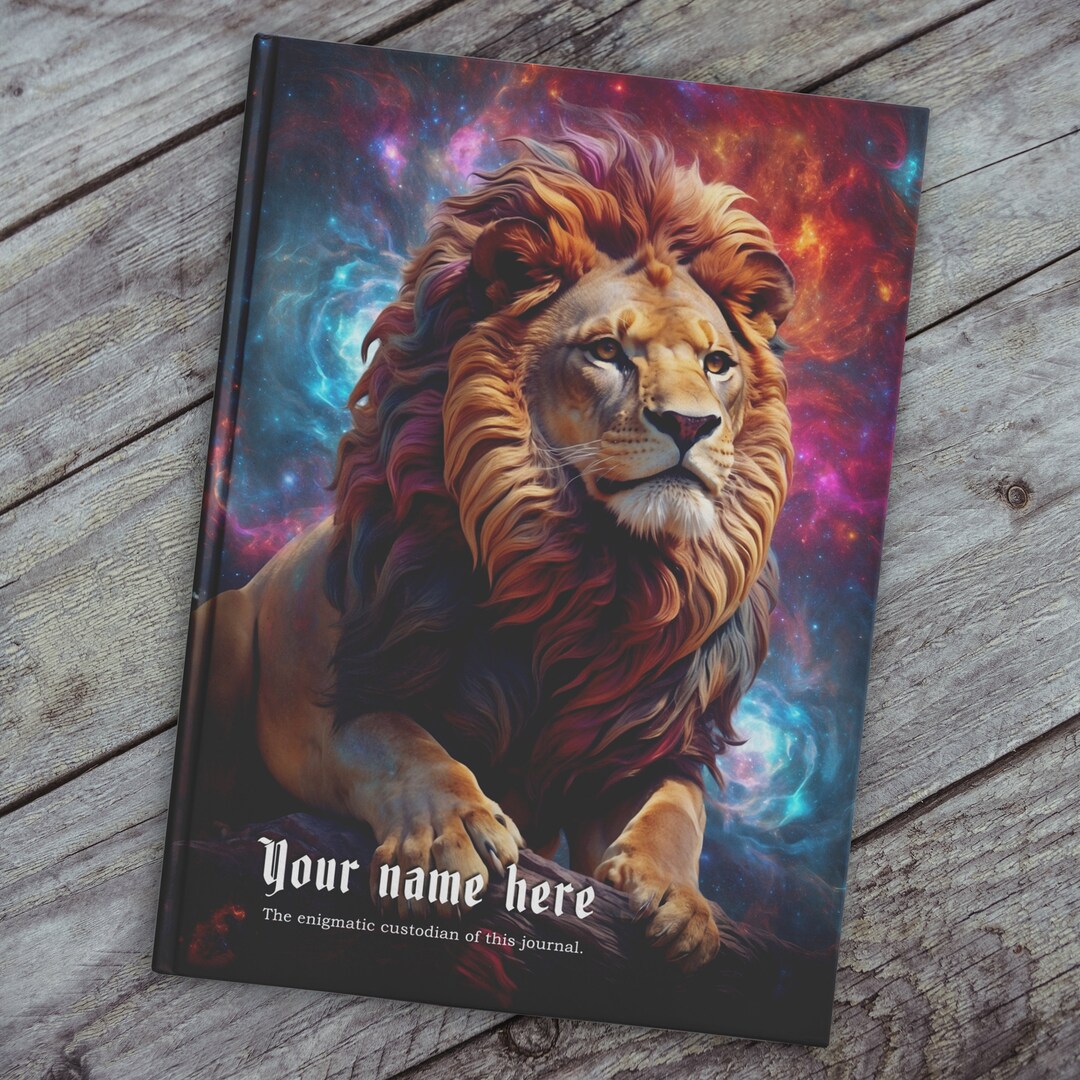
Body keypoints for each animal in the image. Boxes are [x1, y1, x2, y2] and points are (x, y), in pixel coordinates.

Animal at [191, 115, 794, 973]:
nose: (690, 425)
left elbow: (678, 806)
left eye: (718, 364)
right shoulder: (340, 693)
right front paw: (454, 833)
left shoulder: (636, 736)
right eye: (607, 351)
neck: (587, 573)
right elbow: (402, 744)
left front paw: (681, 902)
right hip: (226, 624)